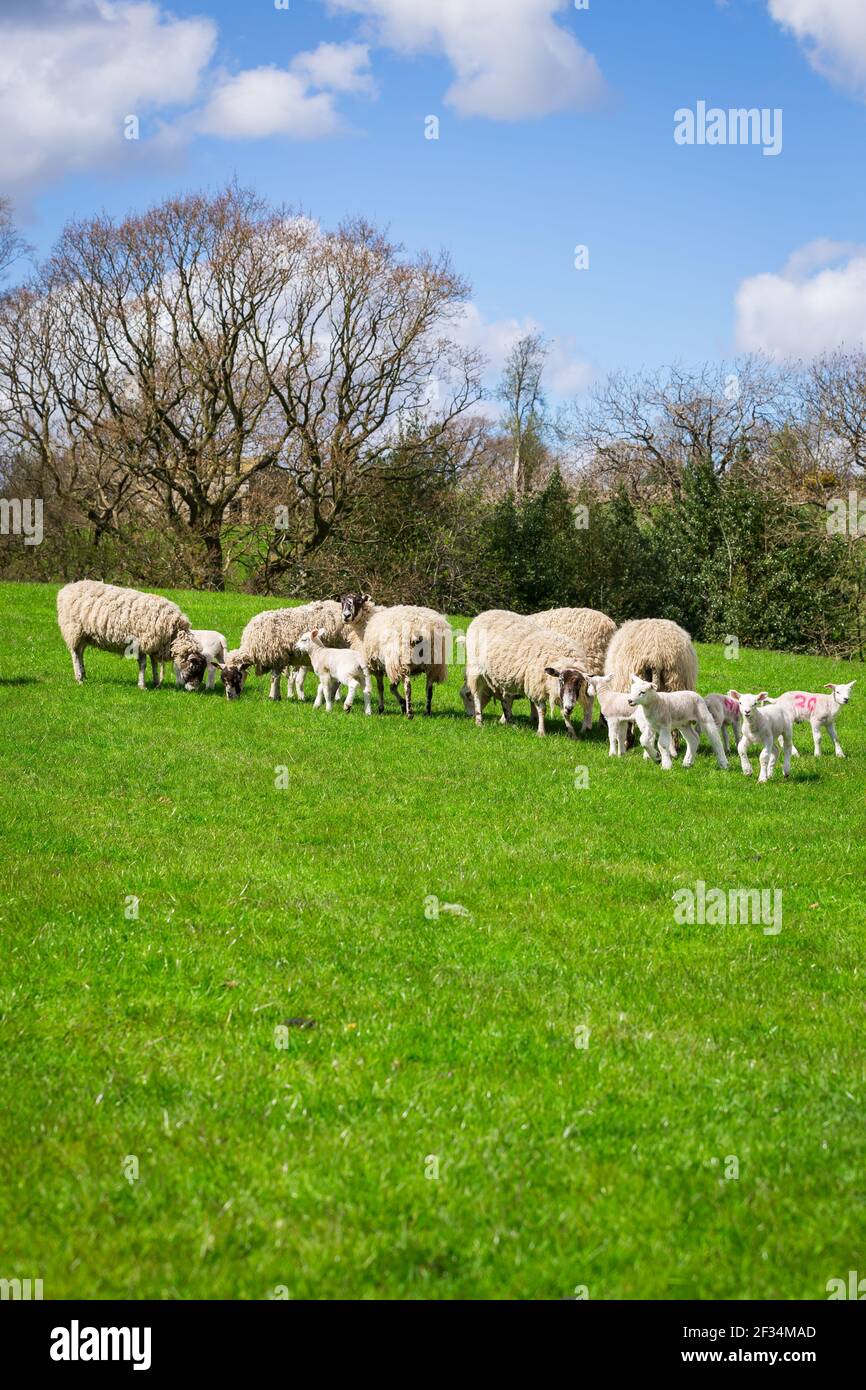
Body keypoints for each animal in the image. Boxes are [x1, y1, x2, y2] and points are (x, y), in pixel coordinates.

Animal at [57, 580, 191, 689]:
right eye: (194, 662)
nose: (191, 688)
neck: (172, 631)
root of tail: (66, 589)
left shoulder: (154, 645)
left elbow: (154, 664)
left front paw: (156, 682)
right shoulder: (141, 643)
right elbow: (143, 665)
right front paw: (142, 686)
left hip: (85, 635)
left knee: (80, 653)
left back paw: (84, 675)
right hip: (74, 631)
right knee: (75, 654)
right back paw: (79, 678)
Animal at [461, 610, 591, 738]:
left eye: (579, 685)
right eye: (561, 680)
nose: (570, 707)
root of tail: (483, 614)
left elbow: (565, 713)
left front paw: (572, 732)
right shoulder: (536, 686)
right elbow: (542, 710)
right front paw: (541, 732)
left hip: (502, 676)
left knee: (505, 699)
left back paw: (510, 722)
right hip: (476, 669)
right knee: (477, 694)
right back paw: (479, 721)